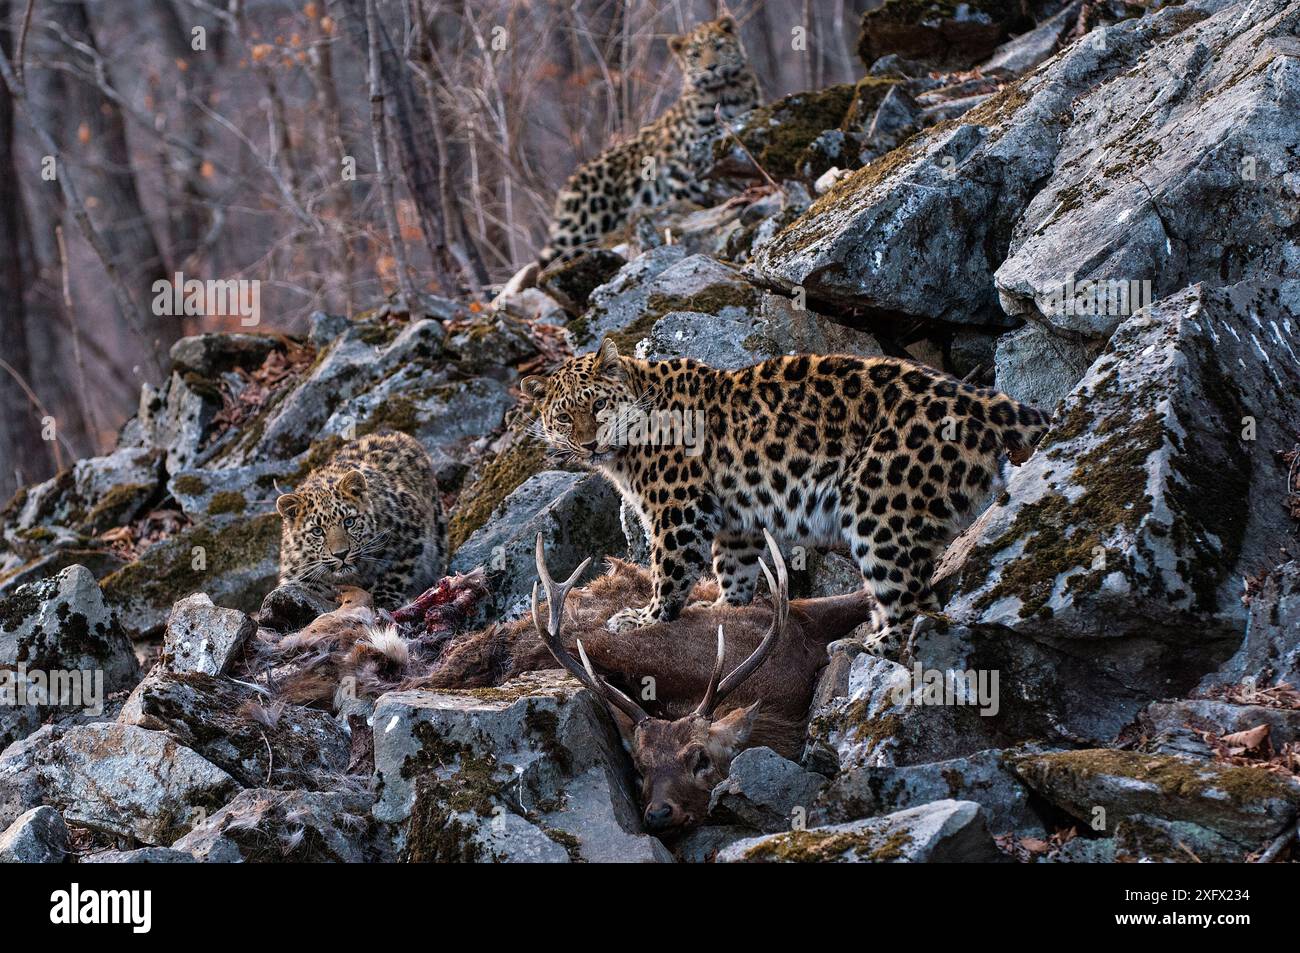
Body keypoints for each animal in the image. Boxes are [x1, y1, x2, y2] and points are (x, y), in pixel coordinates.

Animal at [275, 431, 446, 610]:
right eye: (317, 531)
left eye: (349, 522)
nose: (341, 554)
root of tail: (398, 433)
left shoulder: (413, 533)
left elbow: (395, 572)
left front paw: (382, 599)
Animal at [522, 340, 1050, 655]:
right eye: (565, 418)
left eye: (598, 405)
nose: (590, 444)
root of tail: (978, 398)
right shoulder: (735, 522)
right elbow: (732, 569)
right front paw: (724, 611)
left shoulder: (678, 511)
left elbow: (668, 572)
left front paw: (644, 619)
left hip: (879, 509)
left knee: (912, 602)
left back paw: (866, 647)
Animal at [537, 15, 760, 267]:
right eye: (694, 55)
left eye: (719, 46)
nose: (711, 67)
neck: (728, 94)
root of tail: (569, 184)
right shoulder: (681, 172)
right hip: (584, 225)